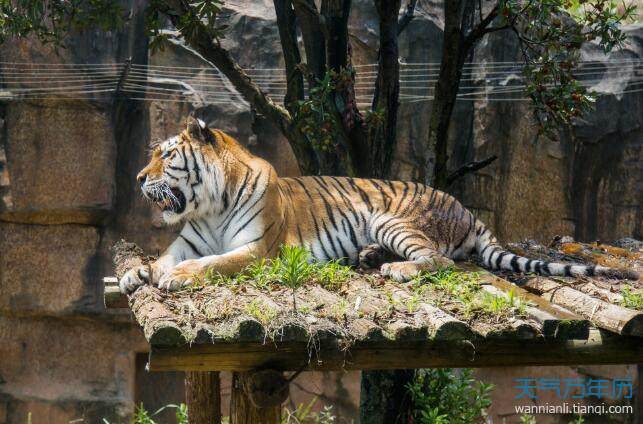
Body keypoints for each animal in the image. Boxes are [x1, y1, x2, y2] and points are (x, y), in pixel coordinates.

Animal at [119, 117, 638, 294]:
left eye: (165, 155)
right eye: (152, 155)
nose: (138, 177)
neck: (208, 205)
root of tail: (468, 211)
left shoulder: (258, 251)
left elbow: (214, 263)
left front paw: (176, 278)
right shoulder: (187, 241)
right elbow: (162, 257)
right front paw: (134, 274)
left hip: (393, 218)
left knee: (441, 261)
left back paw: (395, 268)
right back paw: (370, 257)